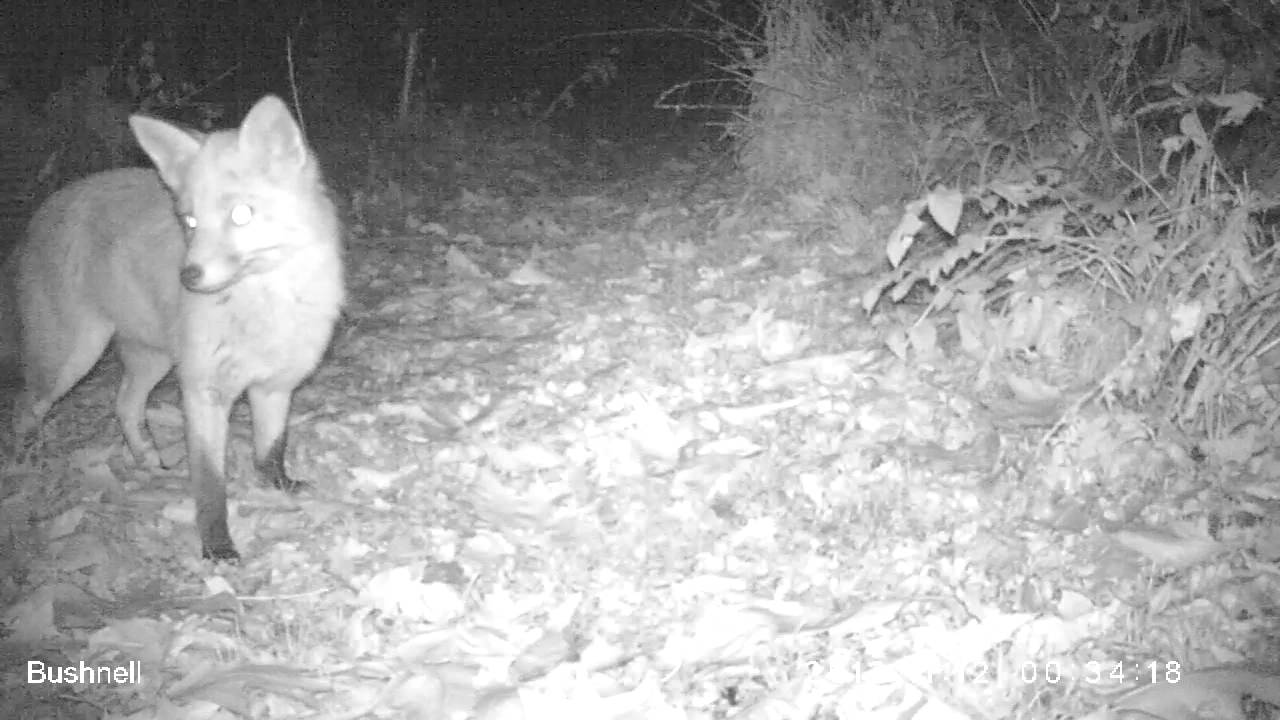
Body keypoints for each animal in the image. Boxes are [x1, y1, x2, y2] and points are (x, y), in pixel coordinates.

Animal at [7, 94, 345, 561]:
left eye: (242, 214)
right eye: (190, 222)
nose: (188, 276)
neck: (266, 306)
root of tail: (46, 206)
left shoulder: (275, 385)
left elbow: (271, 450)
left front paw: (278, 487)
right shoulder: (204, 390)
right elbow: (210, 484)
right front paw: (218, 549)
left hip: (155, 359)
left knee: (124, 404)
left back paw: (148, 460)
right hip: (71, 360)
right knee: (22, 411)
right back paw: (21, 468)